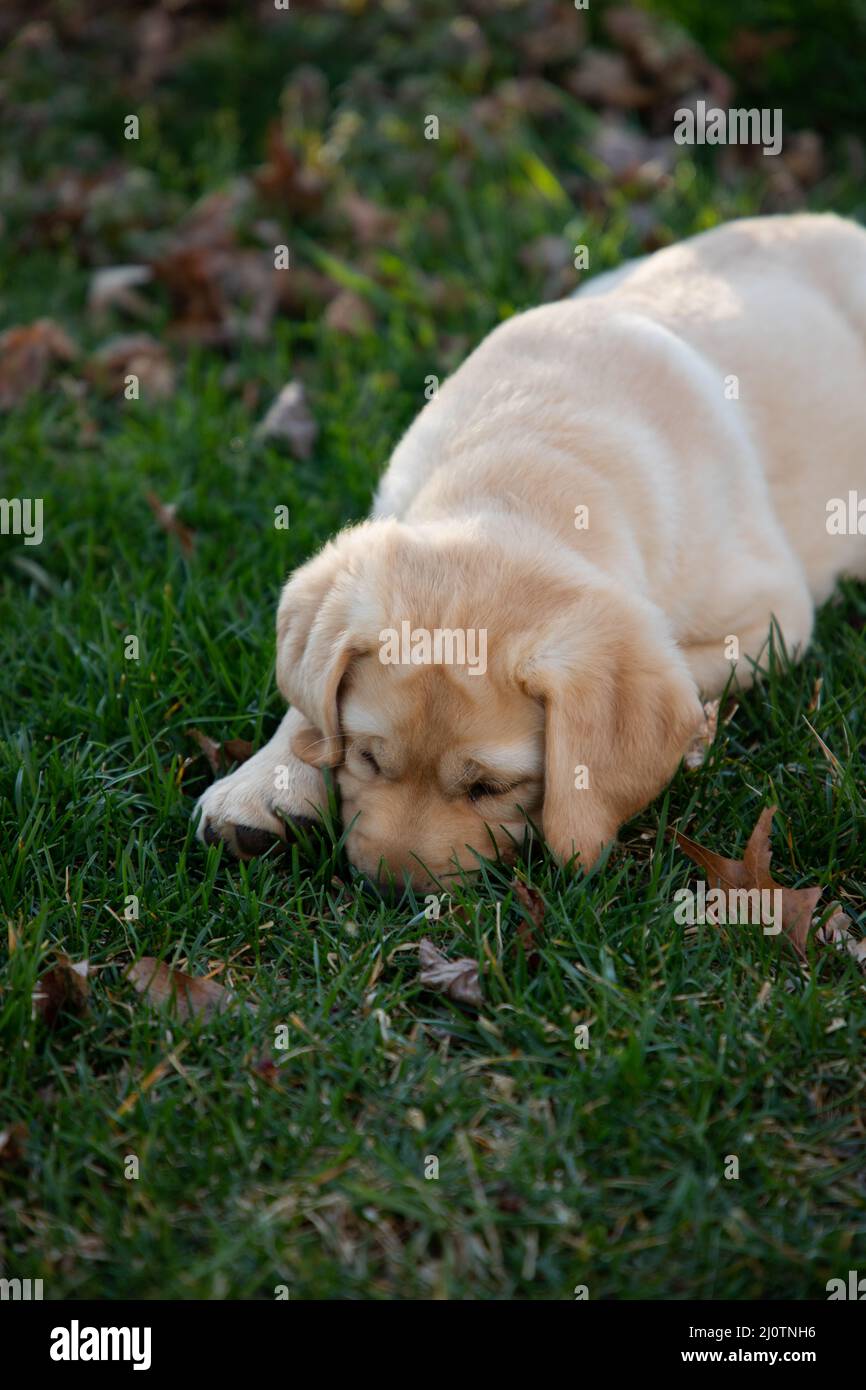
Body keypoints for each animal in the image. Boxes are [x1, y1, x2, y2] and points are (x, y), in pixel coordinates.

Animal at [195, 214, 866, 889]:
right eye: (367, 758)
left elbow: (687, 669)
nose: (388, 890)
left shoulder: (771, 618)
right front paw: (265, 786)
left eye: (492, 788)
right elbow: (308, 702)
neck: (519, 470)